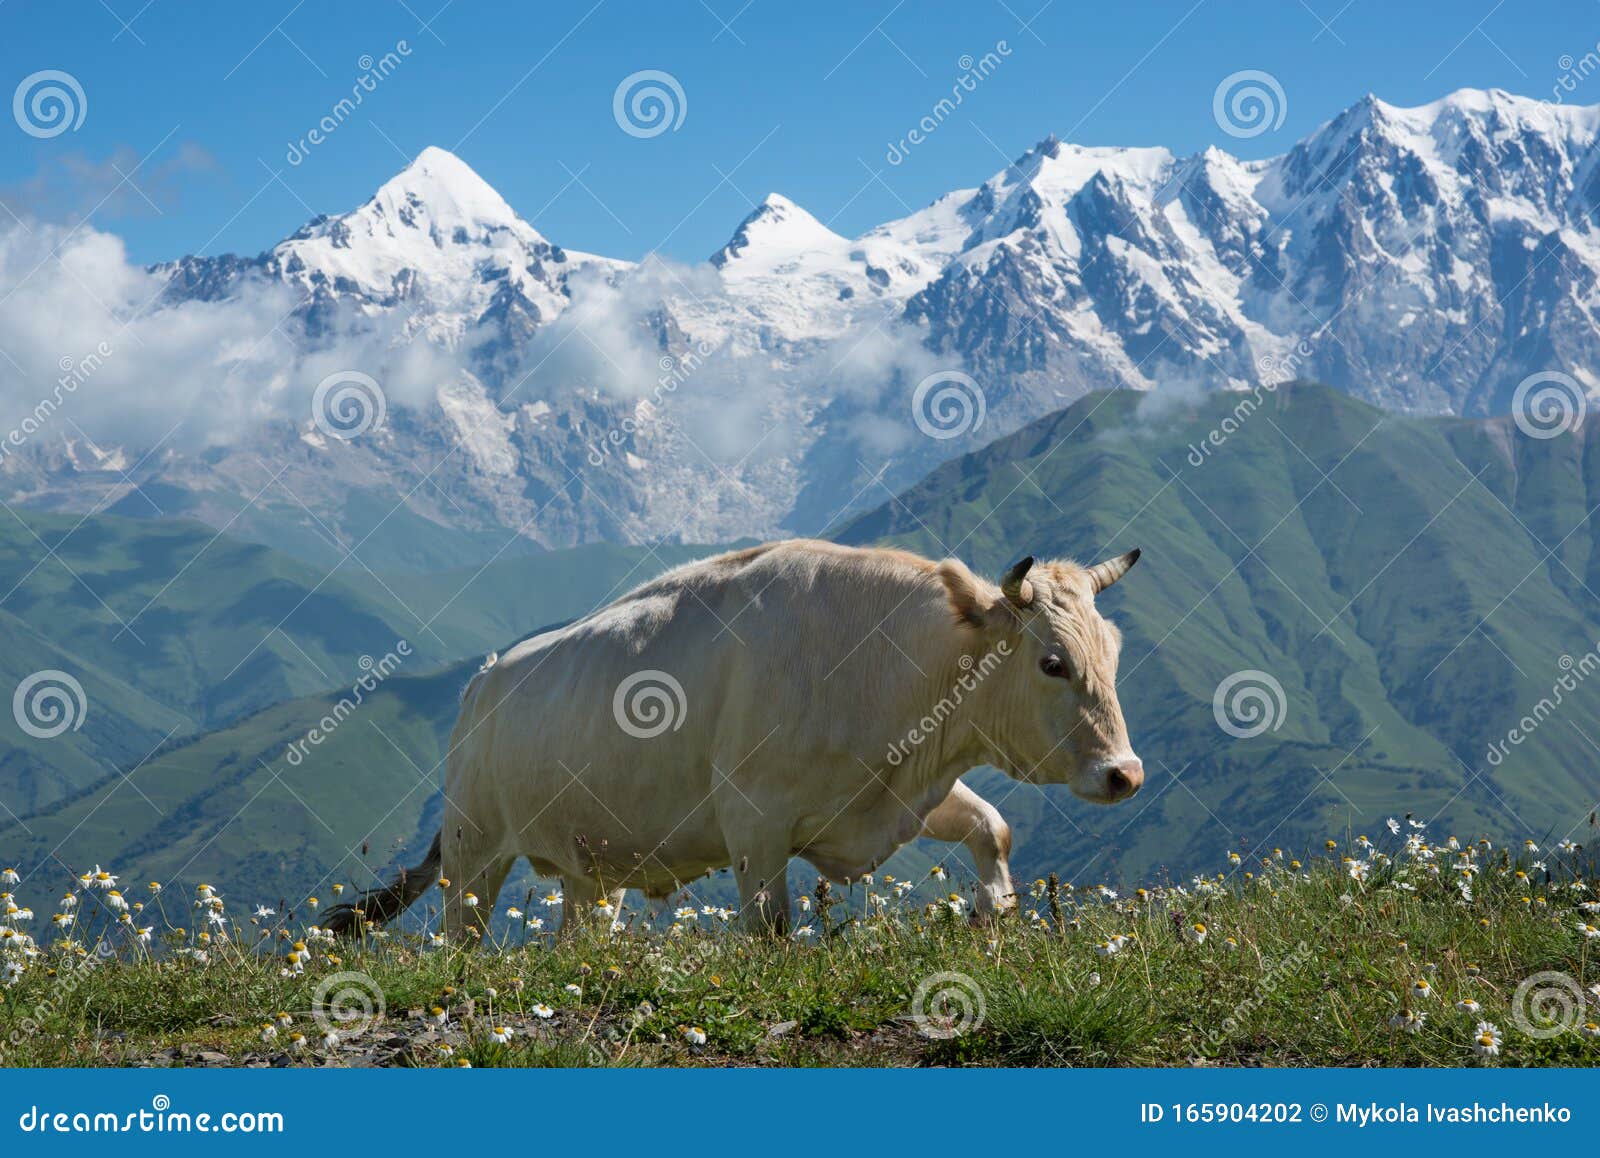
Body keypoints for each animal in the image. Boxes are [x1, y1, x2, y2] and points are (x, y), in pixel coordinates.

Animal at [325, 538, 1143, 937]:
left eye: (1114, 650)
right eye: (1052, 661)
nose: (1125, 773)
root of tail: (483, 682)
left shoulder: (903, 788)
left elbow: (993, 828)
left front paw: (990, 914)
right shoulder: (755, 819)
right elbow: (771, 927)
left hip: (591, 867)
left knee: (579, 933)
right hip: (474, 848)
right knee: (460, 936)